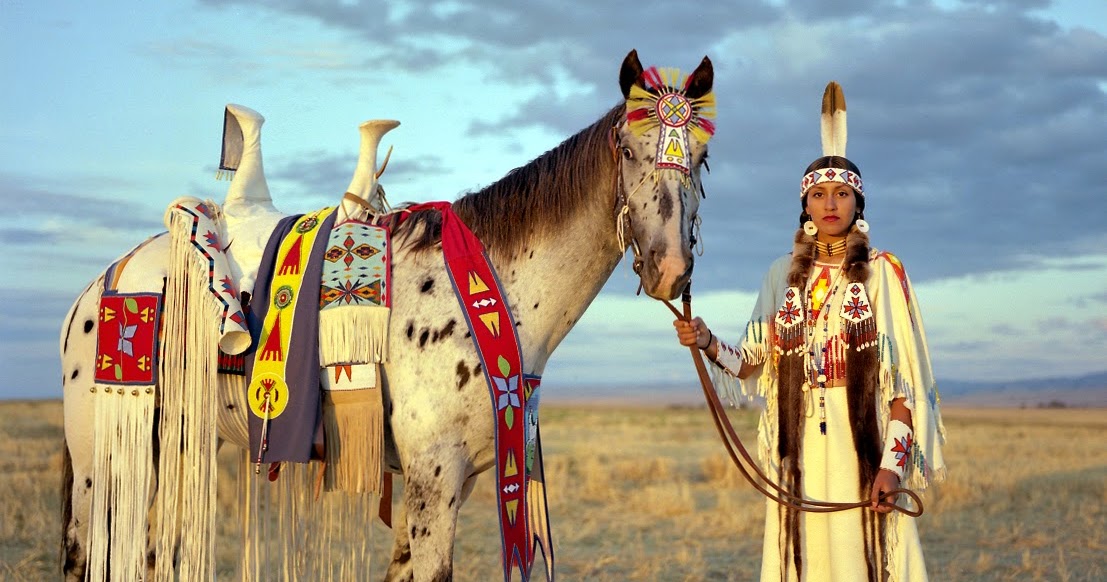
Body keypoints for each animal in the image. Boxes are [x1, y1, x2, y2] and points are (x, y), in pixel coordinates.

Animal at [59, 49, 716, 581]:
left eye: (704, 159)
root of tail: (101, 284)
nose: (670, 269)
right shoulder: (433, 476)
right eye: (627, 150)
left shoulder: (457, 480)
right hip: (105, 457)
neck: (485, 287)